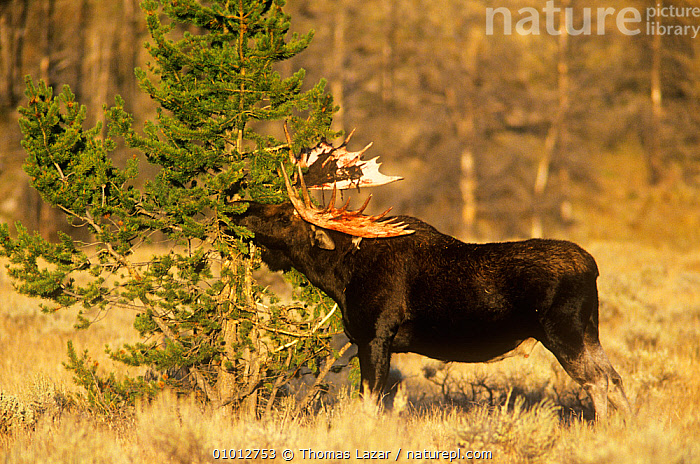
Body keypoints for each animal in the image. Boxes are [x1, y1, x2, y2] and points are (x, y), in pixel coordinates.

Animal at [229, 132, 632, 420]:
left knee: (598, 381)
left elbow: (369, 403)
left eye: (286, 215)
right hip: (589, 332)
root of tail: (593, 267)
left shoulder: (376, 335)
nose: (241, 211)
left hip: (563, 332)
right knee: (615, 377)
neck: (340, 277)